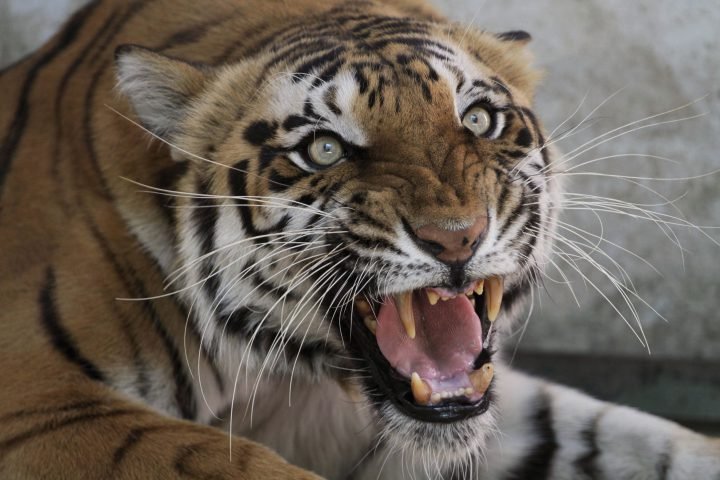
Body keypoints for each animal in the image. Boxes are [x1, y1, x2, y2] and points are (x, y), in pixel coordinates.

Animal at [1, 0, 718, 478]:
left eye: (477, 120)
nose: (457, 239)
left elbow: (628, 438)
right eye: (324, 149)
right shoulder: (42, 402)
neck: (285, 376)